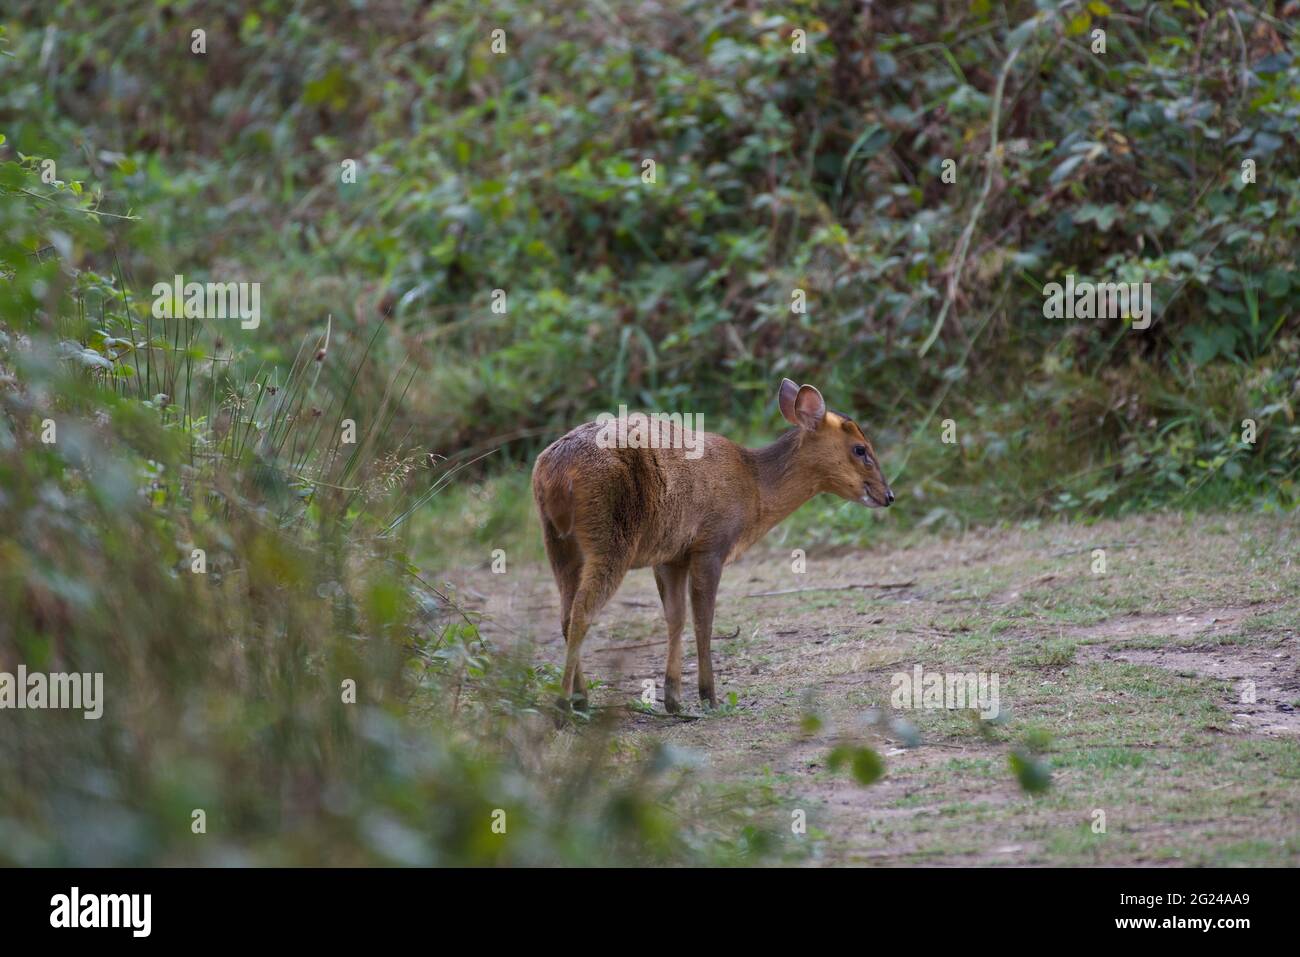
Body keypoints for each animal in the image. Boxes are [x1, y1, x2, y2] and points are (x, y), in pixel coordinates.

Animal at [532, 378, 894, 714]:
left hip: (558, 541)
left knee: (565, 613)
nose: (888, 495)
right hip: (611, 537)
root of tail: (555, 473)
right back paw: (565, 704)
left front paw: (674, 699)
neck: (755, 488)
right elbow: (703, 621)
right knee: (582, 612)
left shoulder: (671, 554)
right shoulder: (712, 543)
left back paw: (581, 699)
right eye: (860, 449)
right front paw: (709, 697)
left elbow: (675, 618)